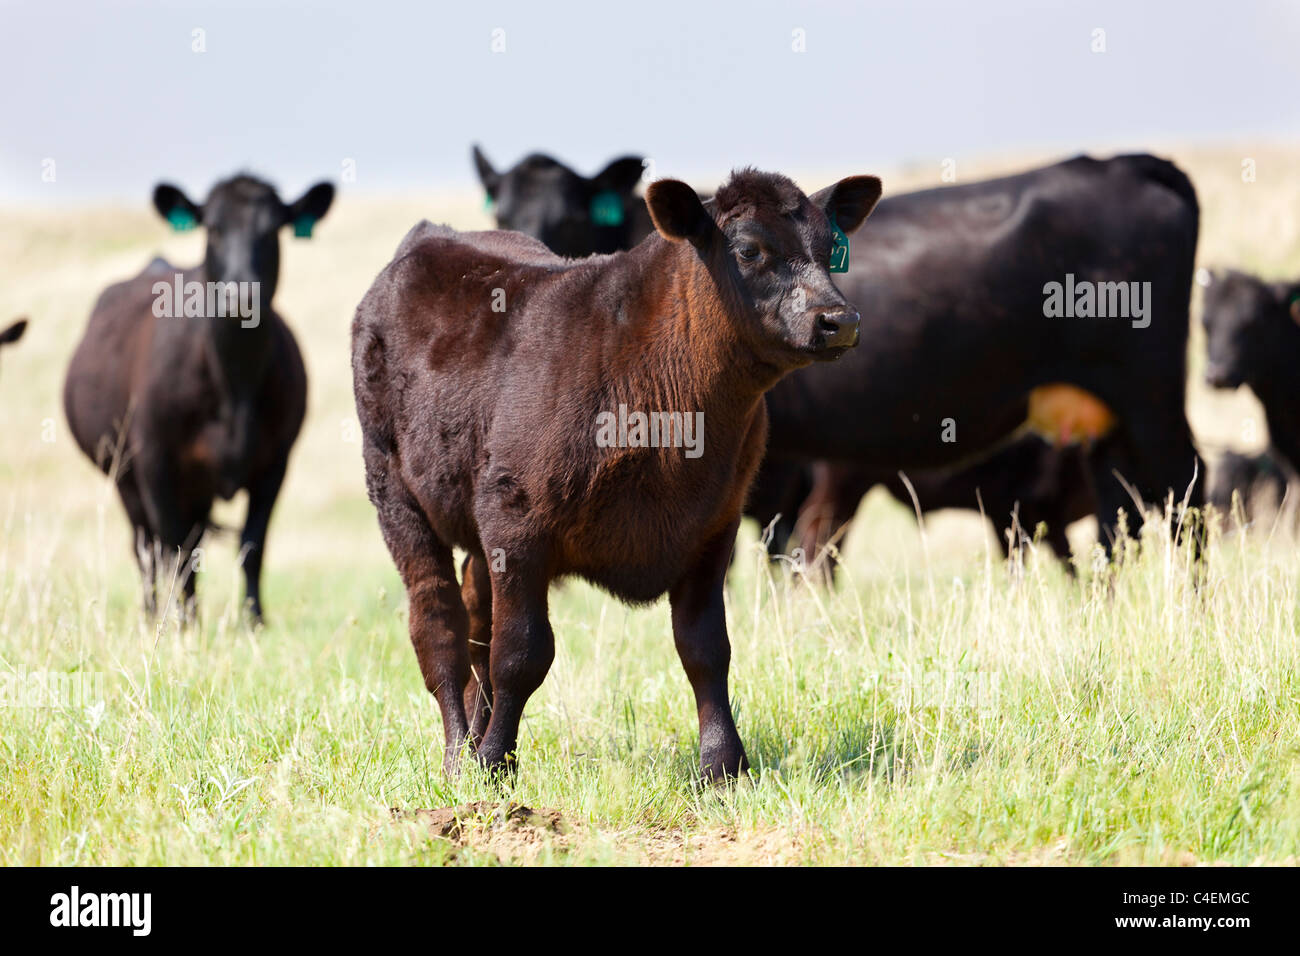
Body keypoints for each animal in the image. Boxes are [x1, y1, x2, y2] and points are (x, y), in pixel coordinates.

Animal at [64, 173, 334, 624]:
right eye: (214, 227)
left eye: (272, 229)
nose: (240, 294)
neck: (234, 384)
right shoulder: (155, 463)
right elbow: (176, 550)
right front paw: (187, 625)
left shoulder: (275, 463)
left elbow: (252, 545)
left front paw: (254, 622)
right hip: (126, 477)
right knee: (147, 548)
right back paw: (154, 614)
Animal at [352, 168, 882, 781]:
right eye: (749, 249)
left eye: (831, 249)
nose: (840, 321)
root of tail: (431, 236)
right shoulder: (518, 525)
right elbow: (521, 652)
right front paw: (496, 761)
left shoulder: (713, 525)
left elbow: (706, 649)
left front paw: (723, 765)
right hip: (394, 492)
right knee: (440, 625)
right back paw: (461, 754)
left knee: (475, 613)